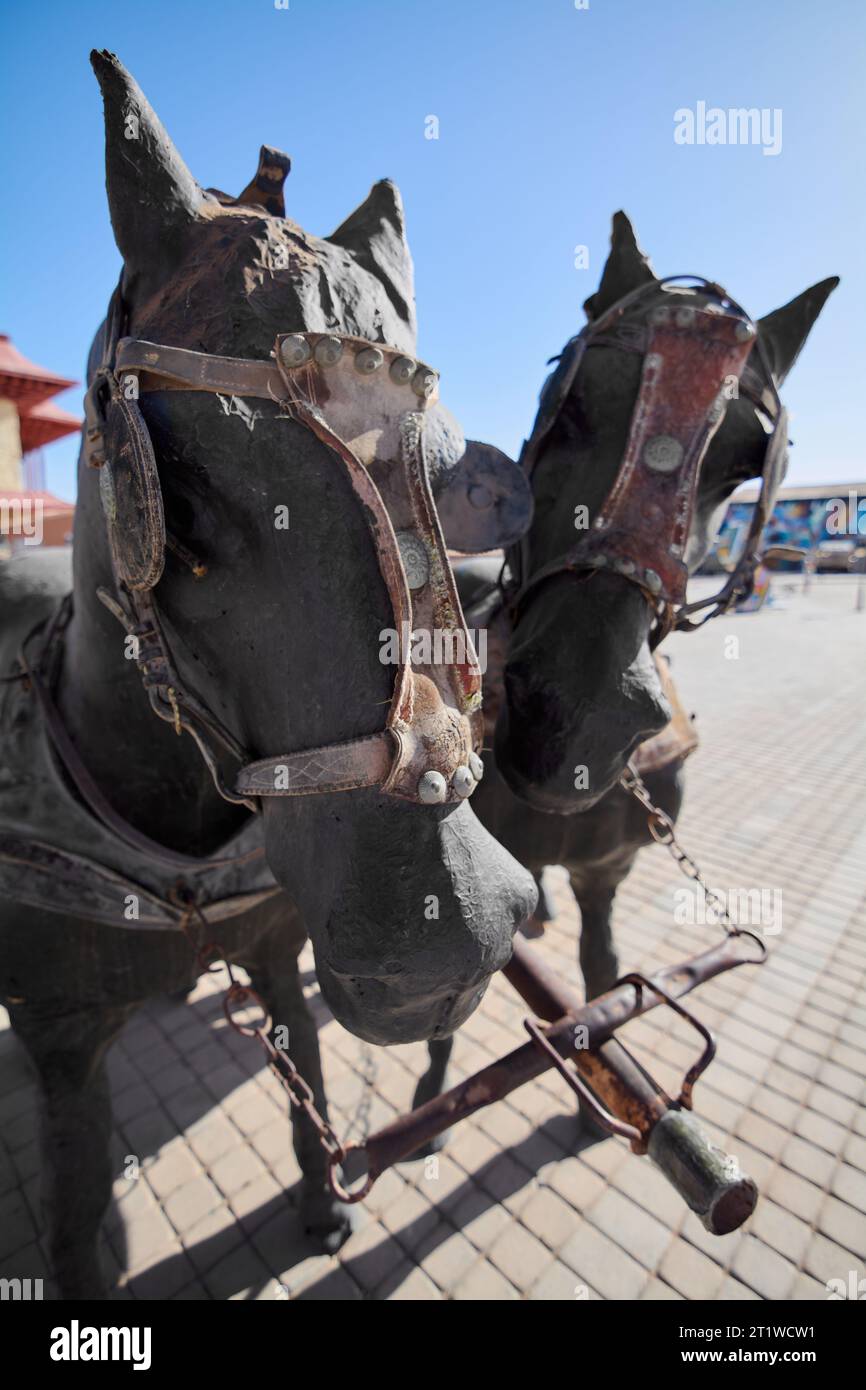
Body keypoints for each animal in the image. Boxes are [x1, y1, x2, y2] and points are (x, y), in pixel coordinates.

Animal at [0, 50, 536, 1298]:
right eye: (181, 506)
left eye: (463, 491)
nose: (446, 942)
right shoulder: (60, 1046)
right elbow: (78, 1211)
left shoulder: (280, 941)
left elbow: (306, 1062)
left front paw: (320, 1199)